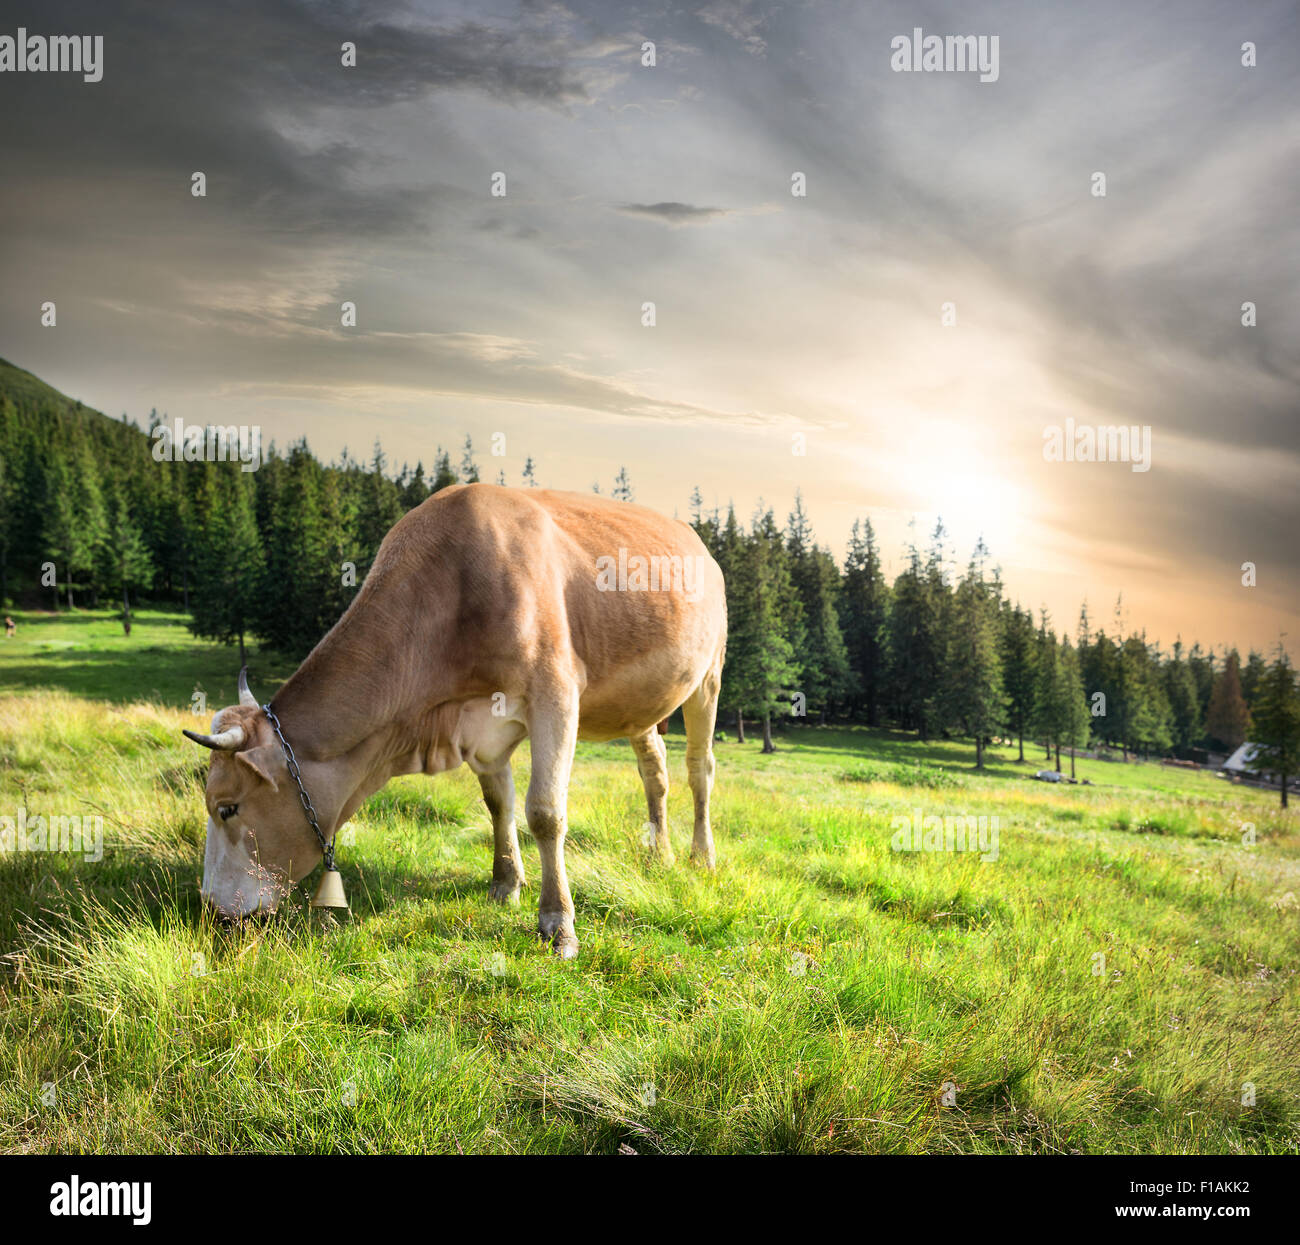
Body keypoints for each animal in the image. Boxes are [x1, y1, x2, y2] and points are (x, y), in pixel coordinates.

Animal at [184, 484, 727, 959]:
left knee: (700, 770)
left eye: (227, 808)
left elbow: (544, 812)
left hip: (709, 676)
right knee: (654, 770)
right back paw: (659, 853)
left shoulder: (555, 693)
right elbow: (498, 802)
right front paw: (505, 882)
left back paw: (701, 856)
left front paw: (558, 924)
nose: (210, 909)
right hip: (641, 705)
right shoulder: (481, 729)